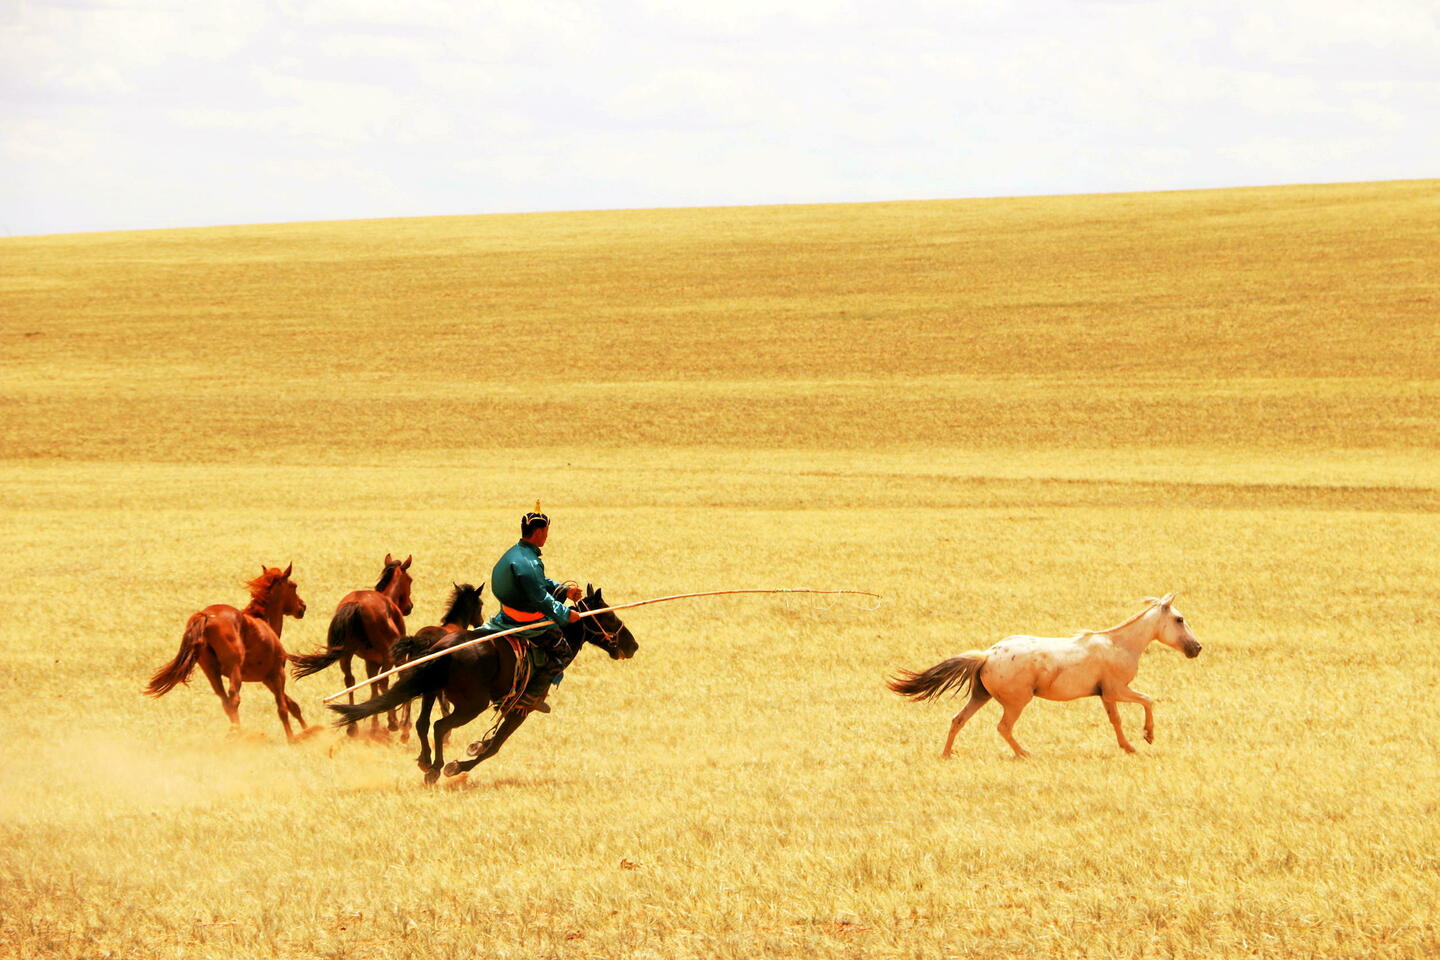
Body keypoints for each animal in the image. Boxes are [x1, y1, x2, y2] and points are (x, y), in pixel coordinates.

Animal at [145, 564, 312, 742]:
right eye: (293, 585)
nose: (302, 606)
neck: (263, 622)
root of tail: (206, 616)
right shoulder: (277, 673)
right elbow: (283, 708)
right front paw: (292, 738)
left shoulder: (266, 679)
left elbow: (292, 705)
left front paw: (308, 731)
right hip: (234, 669)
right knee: (234, 698)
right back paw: (238, 733)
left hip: (211, 672)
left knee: (224, 701)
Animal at [291, 553, 413, 738]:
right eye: (410, 580)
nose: (409, 607)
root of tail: (356, 603)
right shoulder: (395, 659)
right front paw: (401, 724)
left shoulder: (371, 662)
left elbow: (373, 687)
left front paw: (374, 725)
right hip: (388, 656)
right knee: (383, 681)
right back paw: (392, 723)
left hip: (346, 655)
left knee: (350, 681)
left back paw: (352, 727)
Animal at [389, 581, 486, 740]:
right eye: (480, 603)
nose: (480, 622)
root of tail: (419, 640)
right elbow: (445, 705)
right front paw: (446, 736)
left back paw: (405, 731)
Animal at [887, 595, 1203, 758]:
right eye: (1179, 619)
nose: (1196, 648)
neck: (1119, 644)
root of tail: (987, 654)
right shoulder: (1117, 690)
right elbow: (1148, 700)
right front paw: (1148, 736)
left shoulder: (1106, 695)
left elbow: (1116, 720)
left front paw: (1128, 747)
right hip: (1016, 702)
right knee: (1003, 727)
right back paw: (1024, 753)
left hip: (981, 695)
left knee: (957, 719)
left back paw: (947, 754)